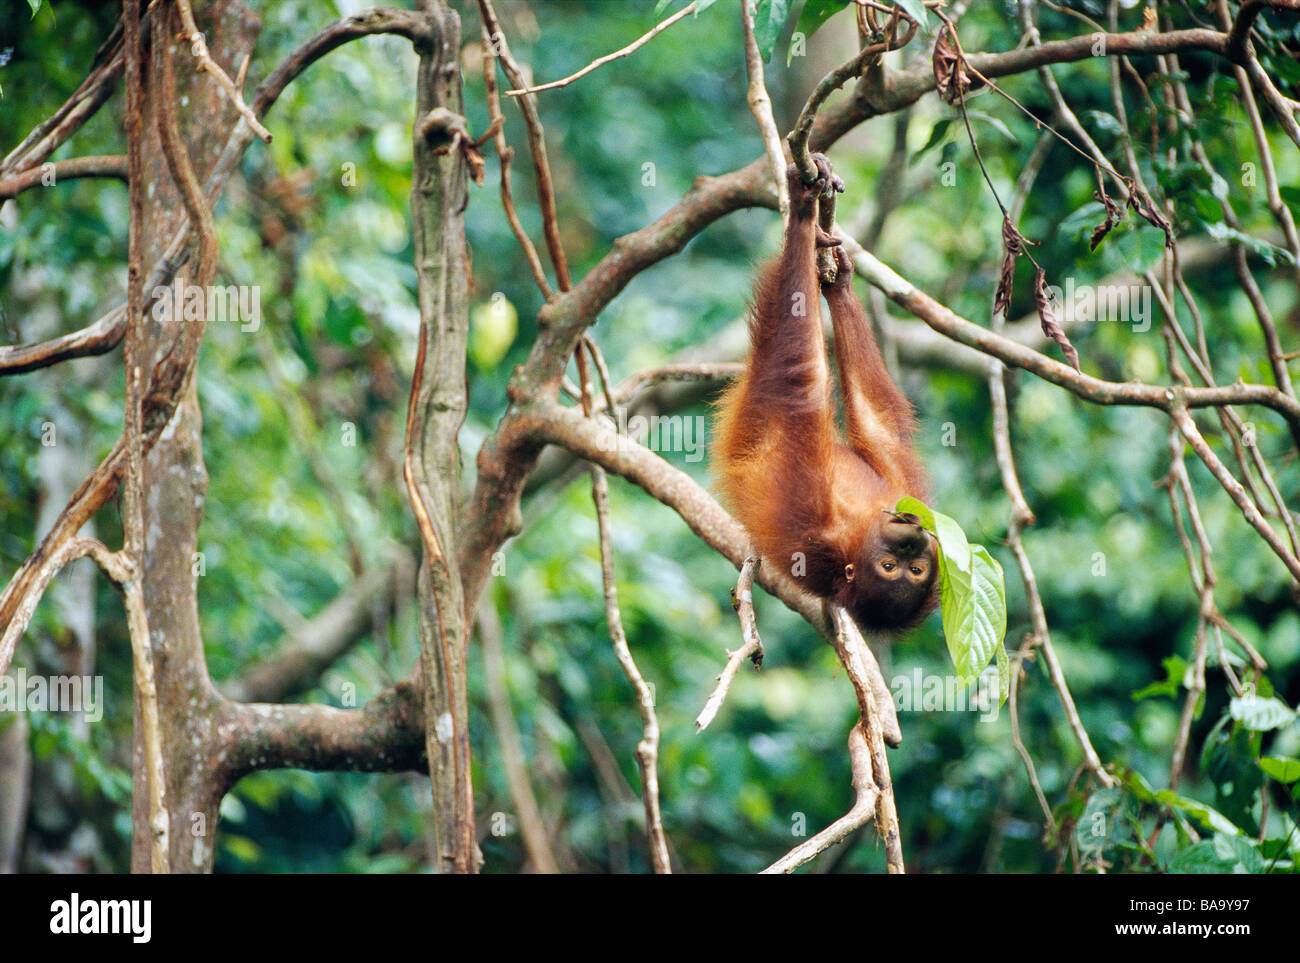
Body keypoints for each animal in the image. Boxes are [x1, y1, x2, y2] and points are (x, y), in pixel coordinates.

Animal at [712, 154, 938, 633]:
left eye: (912, 572)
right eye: (894, 565)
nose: (909, 544)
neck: (857, 531)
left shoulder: (814, 532)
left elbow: (805, 385)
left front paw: (802, 211)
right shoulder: (910, 496)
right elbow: (879, 425)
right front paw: (841, 278)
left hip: (749, 418)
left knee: (784, 358)